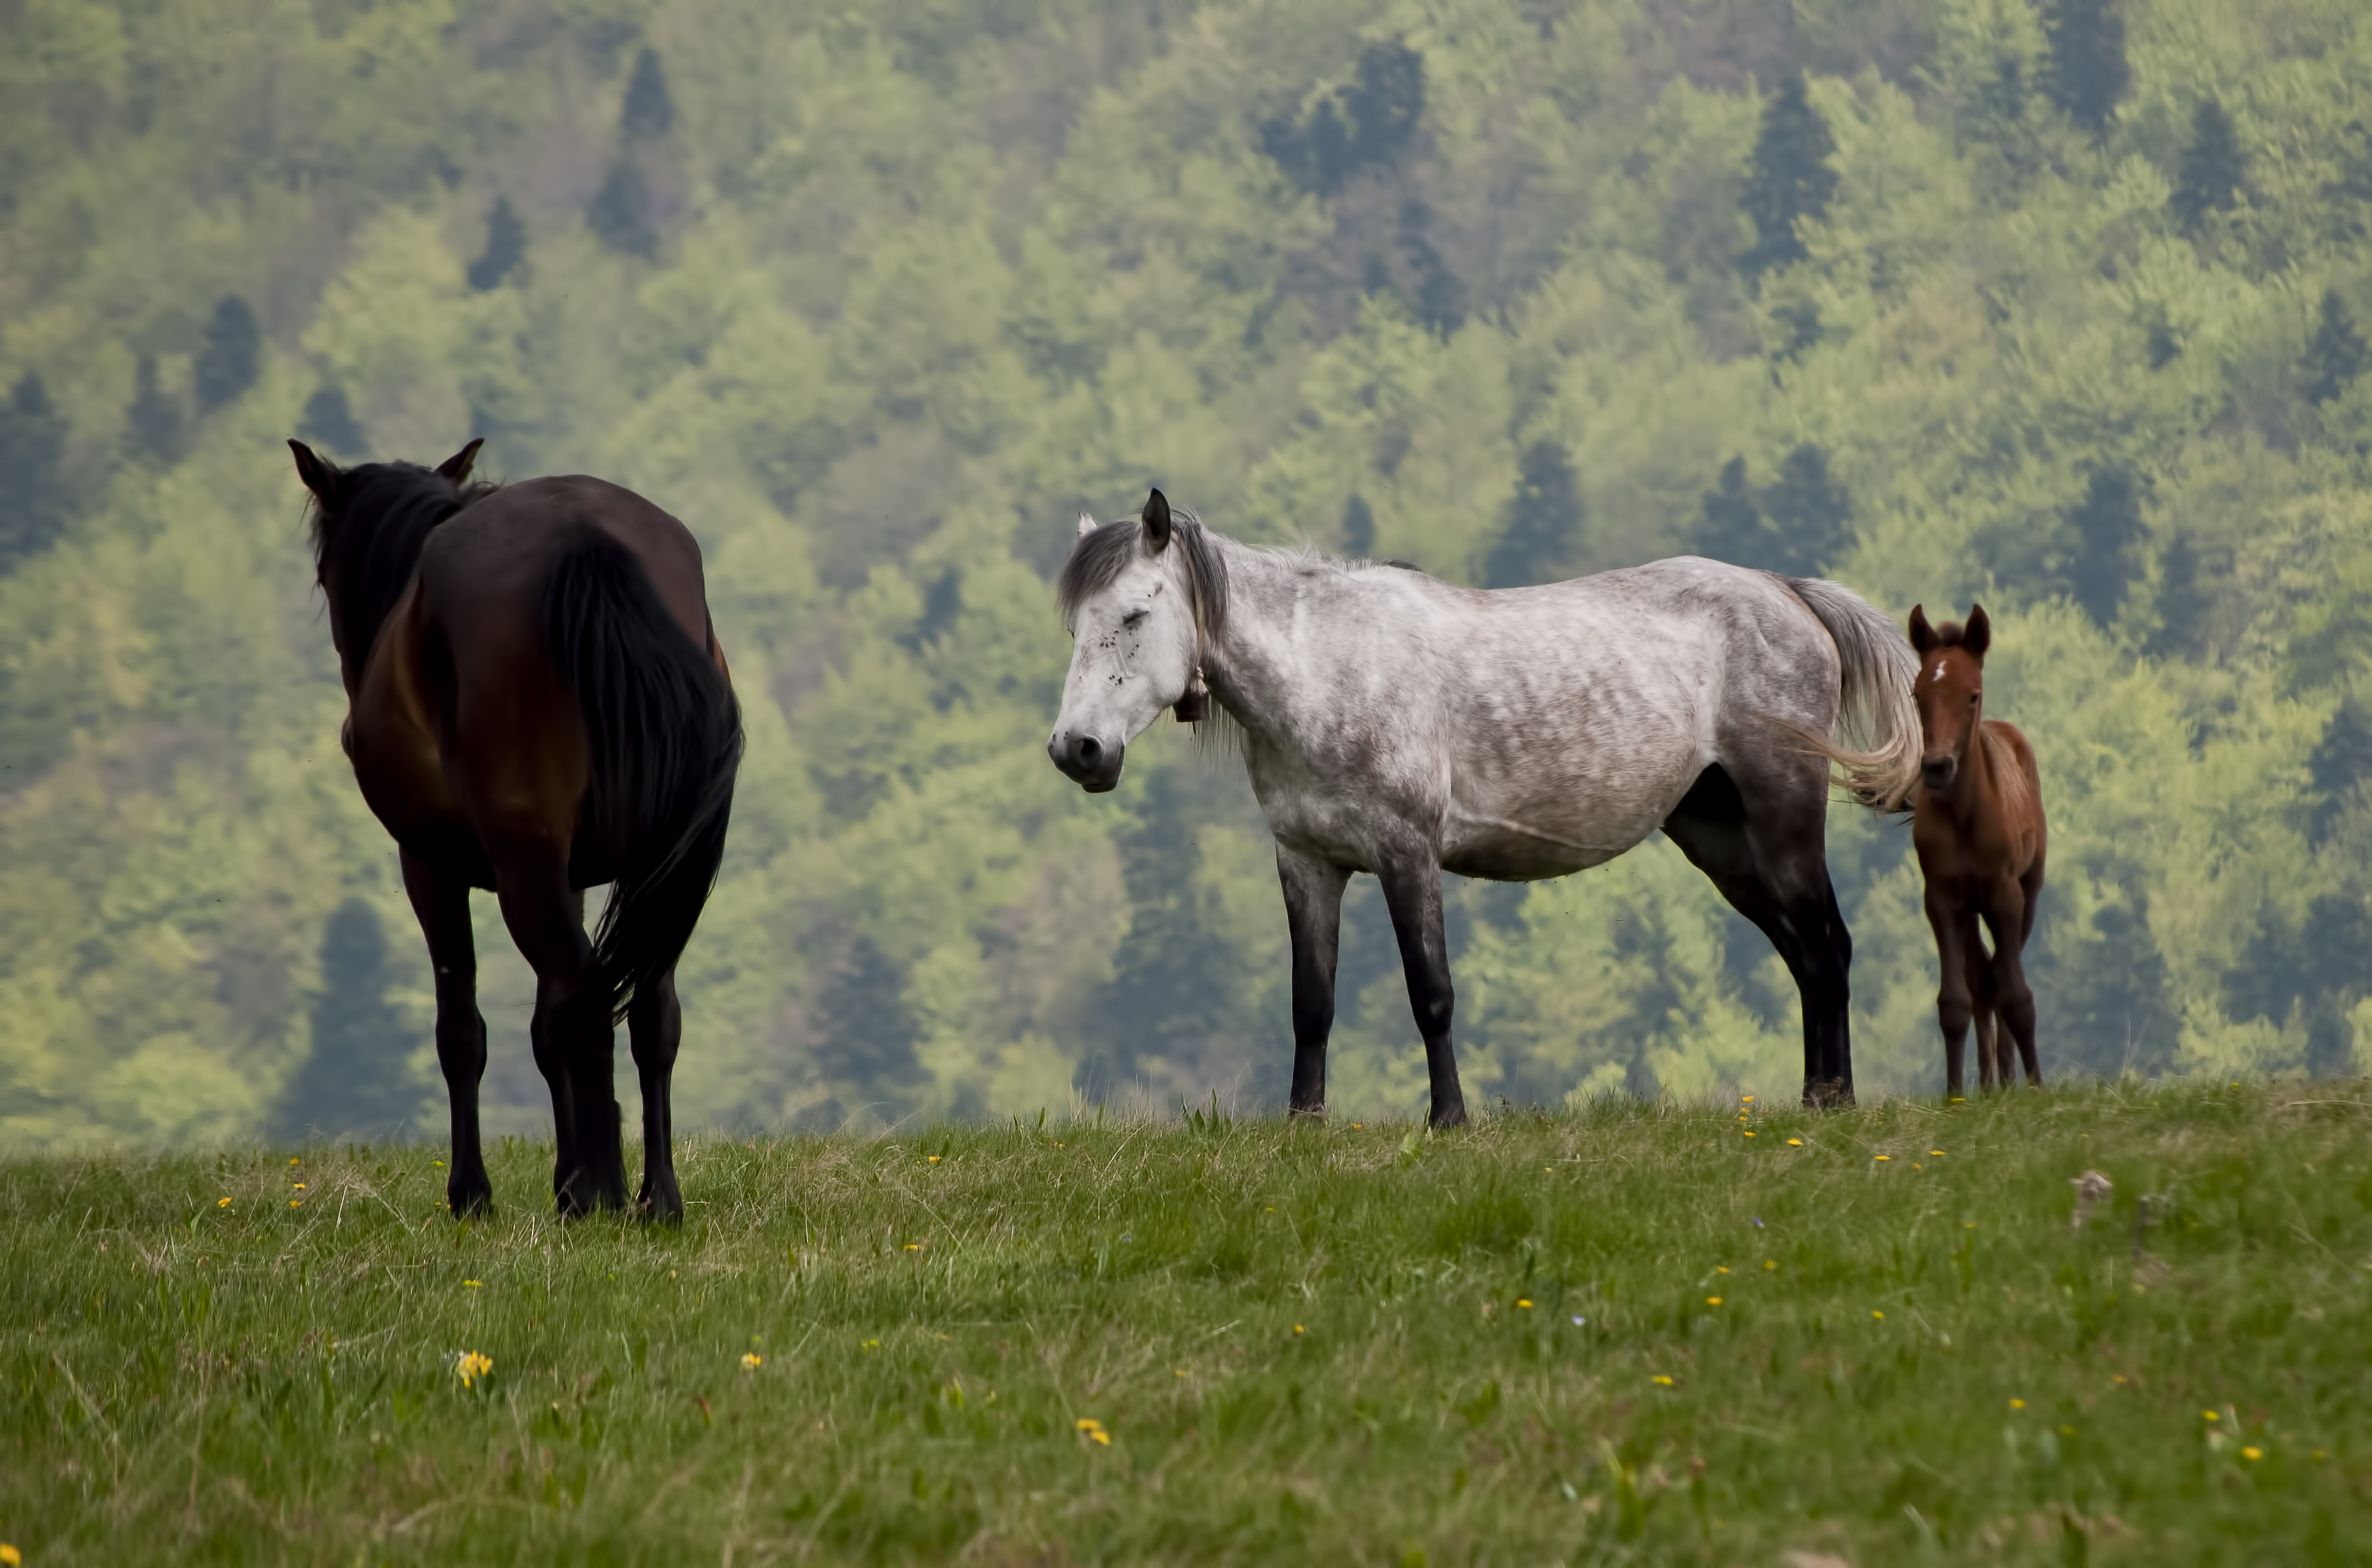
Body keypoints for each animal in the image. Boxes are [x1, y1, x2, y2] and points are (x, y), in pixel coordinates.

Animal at [285, 433, 735, 1214]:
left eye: (323, 570)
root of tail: (584, 540)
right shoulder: (576, 874)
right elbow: (545, 1025)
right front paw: (564, 1177)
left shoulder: (429, 867)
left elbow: (463, 1030)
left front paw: (473, 1192)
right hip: (651, 871)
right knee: (647, 1011)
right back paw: (656, 1197)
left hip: (523, 864)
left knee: (585, 1005)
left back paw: (604, 1195)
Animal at [1907, 605, 2039, 1096]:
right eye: (1918, 694)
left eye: (1972, 695)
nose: (1936, 767)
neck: (1965, 817)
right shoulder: (1943, 899)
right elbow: (1954, 1001)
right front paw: (1955, 1094)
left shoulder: (2006, 894)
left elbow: (2017, 994)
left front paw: (2038, 1086)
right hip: (1969, 909)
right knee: (1981, 979)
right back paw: (1989, 1082)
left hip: (2027, 891)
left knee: (1999, 976)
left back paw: (2007, 1077)